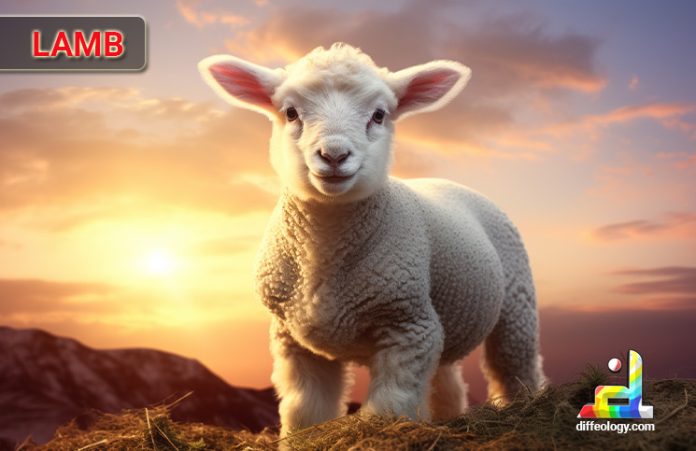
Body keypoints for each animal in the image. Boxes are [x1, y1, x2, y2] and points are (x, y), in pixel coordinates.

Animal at [199, 43, 545, 437]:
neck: (325, 253)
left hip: (515, 305)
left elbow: (390, 406)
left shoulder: (408, 328)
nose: (334, 155)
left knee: (514, 366)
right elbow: (305, 410)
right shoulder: (295, 341)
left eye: (379, 115)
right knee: (448, 382)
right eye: (290, 112)